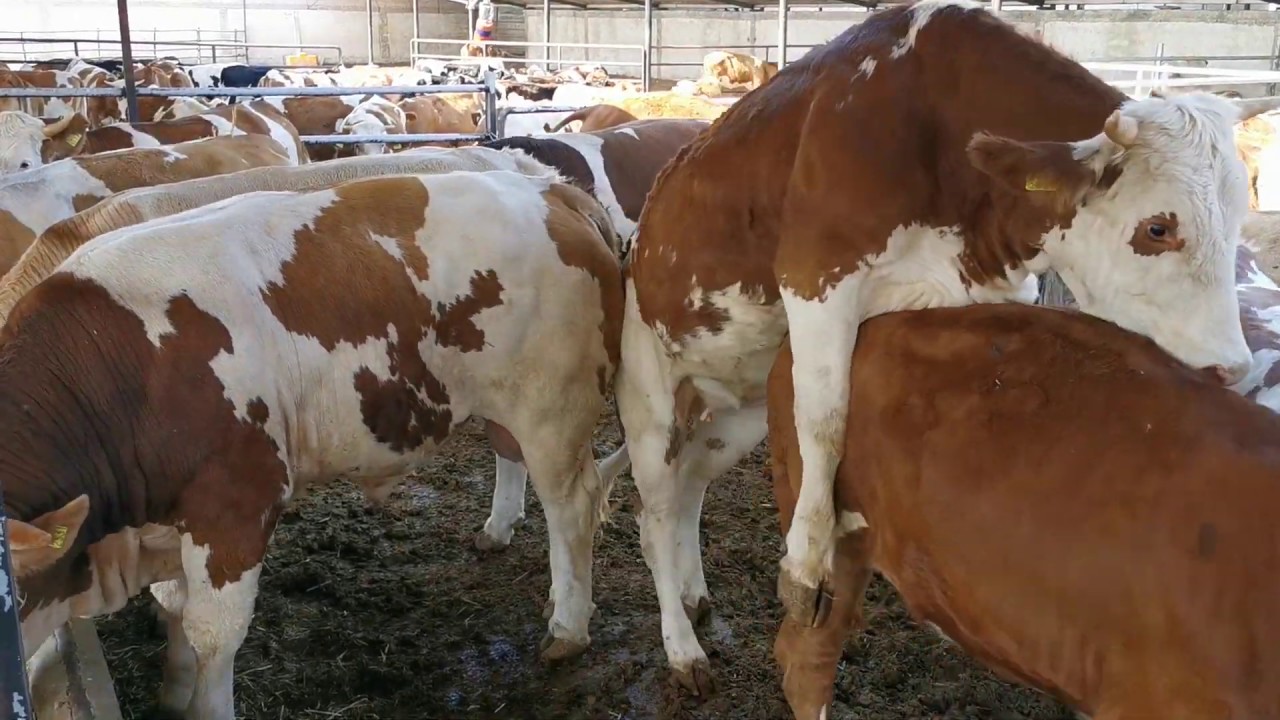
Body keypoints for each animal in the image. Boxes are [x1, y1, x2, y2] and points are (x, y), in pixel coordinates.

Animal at [1, 168, 624, 720]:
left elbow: (212, 634)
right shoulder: (166, 522)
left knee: (572, 506)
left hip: (552, 407)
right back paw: (509, 544)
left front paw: (204, 705)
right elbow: (174, 609)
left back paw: (568, 624)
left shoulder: (235, 506)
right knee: (517, 461)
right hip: (506, 405)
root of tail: (552, 191)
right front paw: (173, 695)